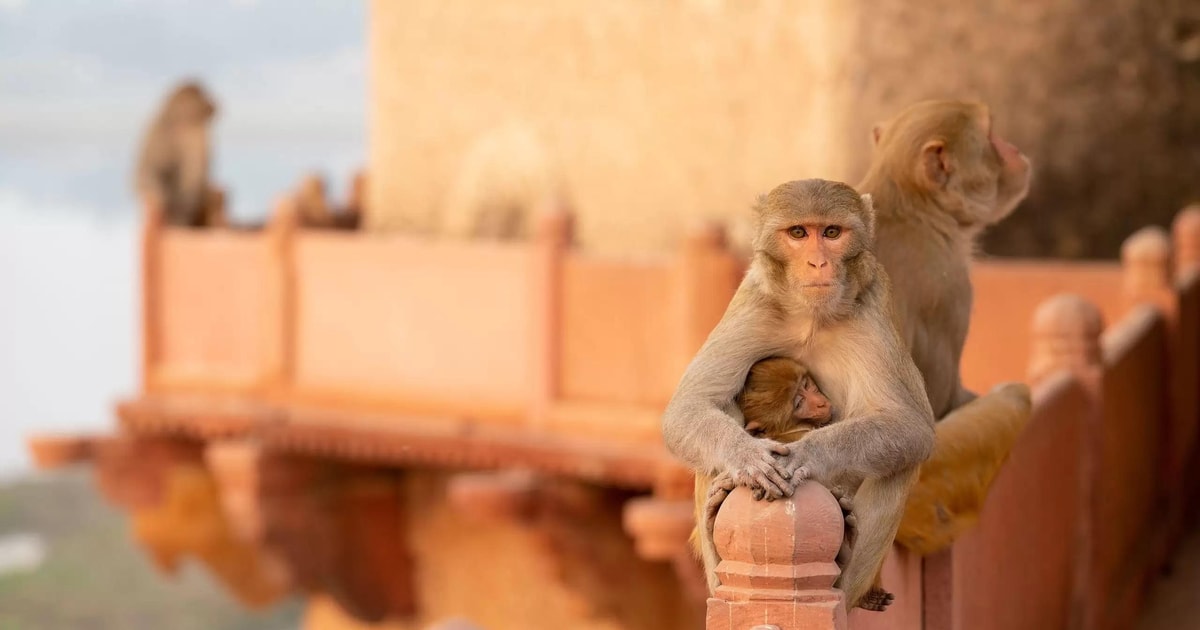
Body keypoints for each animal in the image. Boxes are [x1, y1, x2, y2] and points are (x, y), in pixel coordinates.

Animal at [662, 179, 936, 611]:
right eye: (798, 233)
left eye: (832, 233)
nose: (818, 263)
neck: (812, 315)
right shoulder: (755, 300)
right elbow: (691, 405)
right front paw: (747, 456)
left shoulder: (872, 308)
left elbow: (910, 425)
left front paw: (807, 454)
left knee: (900, 463)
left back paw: (844, 570)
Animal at [858, 100, 1036, 554]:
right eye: (990, 136)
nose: (1014, 148)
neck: (913, 206)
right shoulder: (951, 285)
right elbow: (944, 397)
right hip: (933, 478)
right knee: (1015, 397)